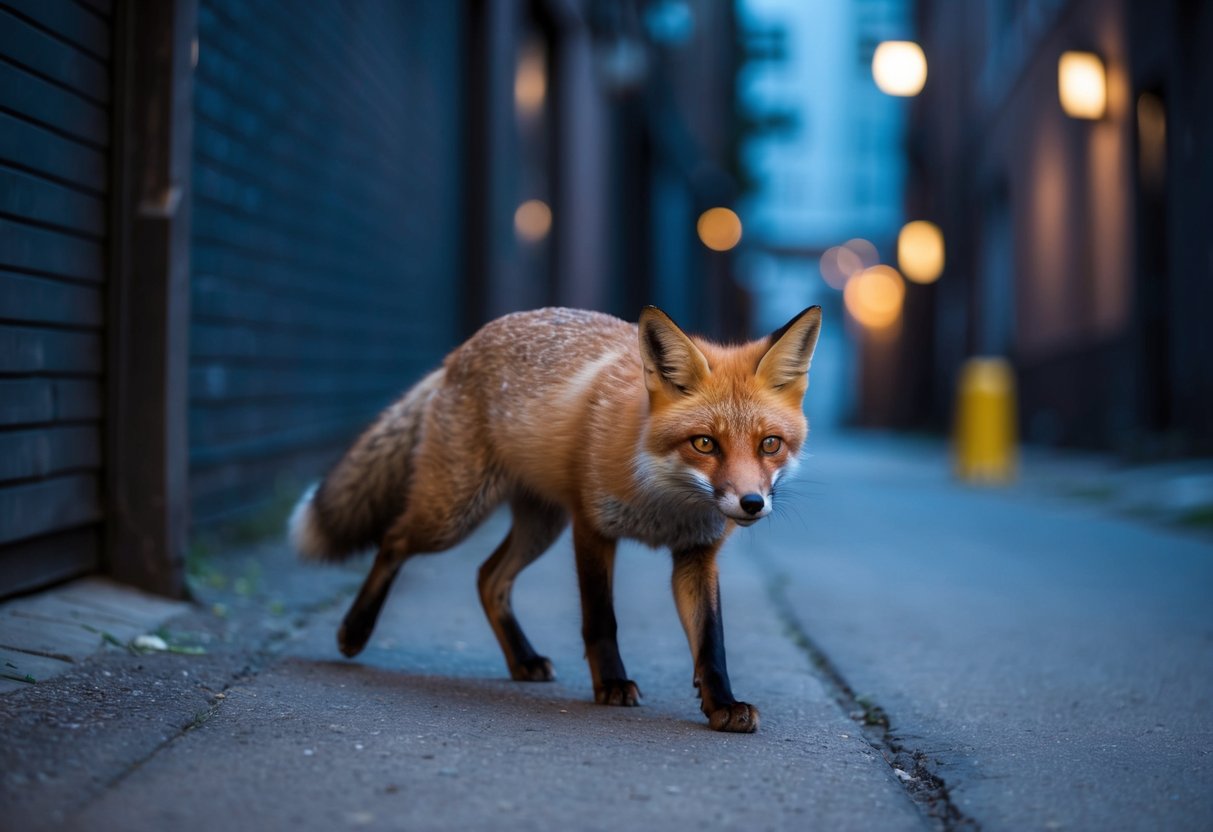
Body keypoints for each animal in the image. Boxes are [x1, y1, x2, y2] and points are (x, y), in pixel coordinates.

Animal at [289, 304, 821, 732]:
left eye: (770, 444)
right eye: (705, 443)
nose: (751, 503)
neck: (667, 503)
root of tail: (459, 352)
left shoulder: (696, 553)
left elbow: (711, 642)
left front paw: (722, 704)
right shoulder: (592, 527)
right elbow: (600, 619)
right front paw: (611, 685)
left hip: (540, 526)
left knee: (488, 576)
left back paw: (523, 660)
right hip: (454, 514)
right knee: (395, 540)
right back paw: (355, 631)